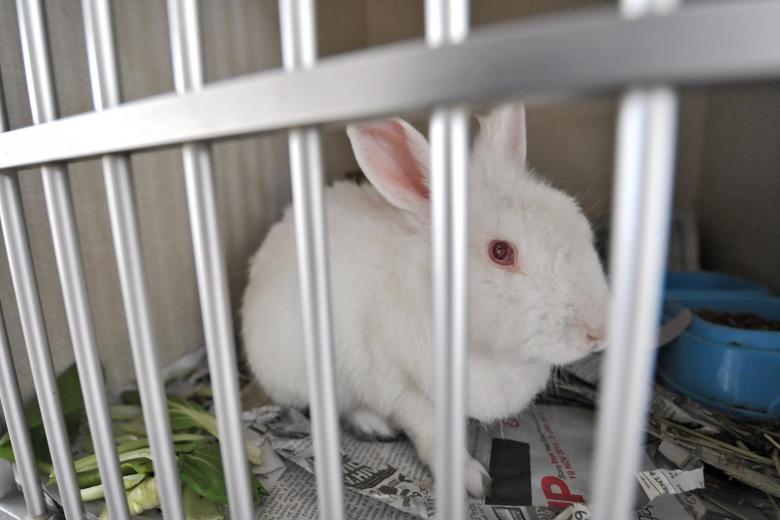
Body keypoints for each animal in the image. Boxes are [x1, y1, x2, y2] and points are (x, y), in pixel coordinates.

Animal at [240, 104, 609, 498]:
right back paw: (374, 425)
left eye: (576, 218)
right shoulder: (406, 392)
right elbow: (435, 438)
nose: (599, 332)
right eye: (500, 252)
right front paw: (474, 482)